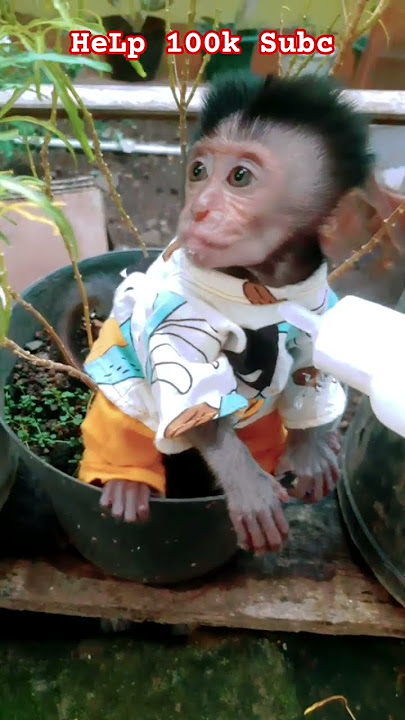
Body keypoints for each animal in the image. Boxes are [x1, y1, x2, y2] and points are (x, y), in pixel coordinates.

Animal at [58, 71, 373, 557]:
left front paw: (310, 447)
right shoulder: (180, 313)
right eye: (198, 171)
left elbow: (310, 366)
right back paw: (126, 481)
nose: (199, 208)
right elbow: (194, 391)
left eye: (240, 177)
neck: (261, 284)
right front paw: (245, 481)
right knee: (123, 417)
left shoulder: (319, 299)